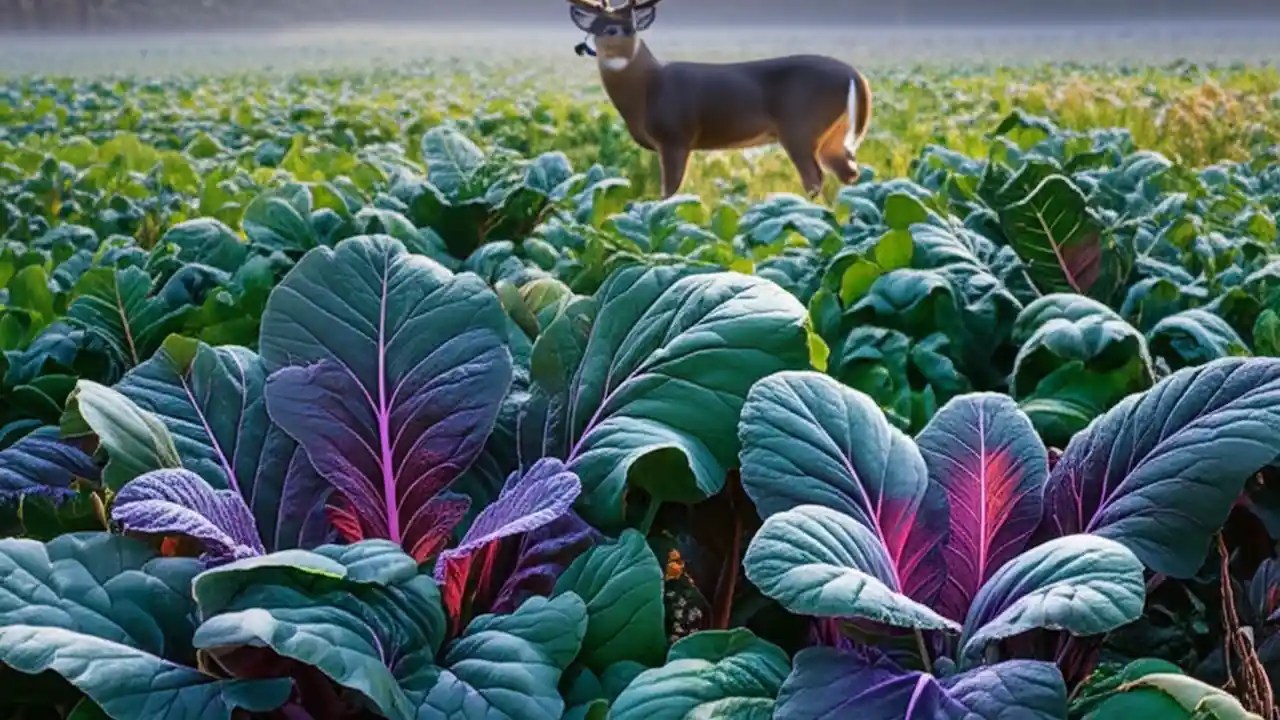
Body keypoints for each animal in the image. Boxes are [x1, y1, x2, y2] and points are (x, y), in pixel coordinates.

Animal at [567, 0, 873, 199]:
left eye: (621, 28)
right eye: (594, 27)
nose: (583, 47)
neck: (647, 90)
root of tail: (856, 76)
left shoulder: (675, 136)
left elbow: (669, 193)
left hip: (801, 127)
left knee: (815, 178)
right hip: (832, 135)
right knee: (849, 173)